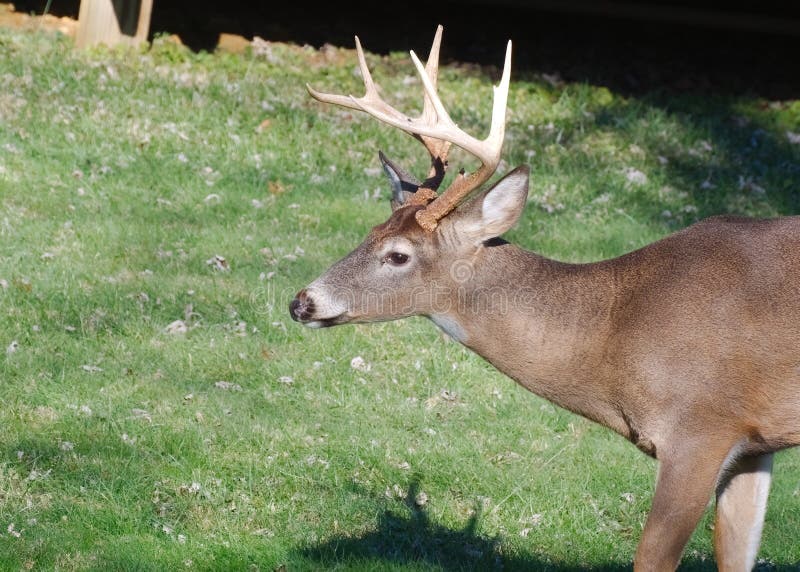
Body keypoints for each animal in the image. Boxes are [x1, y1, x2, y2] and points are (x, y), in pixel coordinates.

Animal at [289, 25, 800, 571]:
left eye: (398, 255)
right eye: (369, 233)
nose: (301, 302)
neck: (618, 329)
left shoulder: (701, 429)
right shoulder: (753, 444)